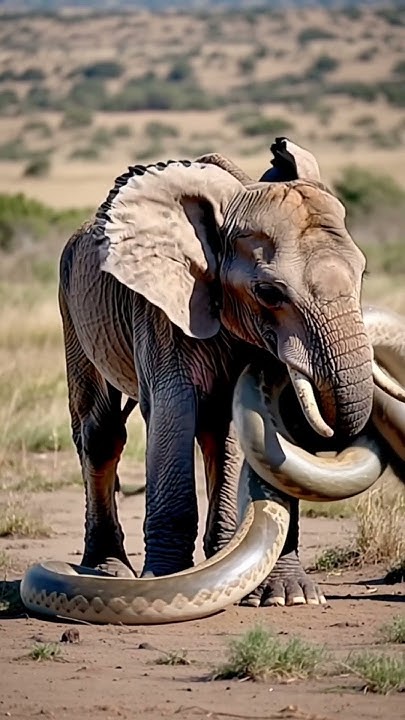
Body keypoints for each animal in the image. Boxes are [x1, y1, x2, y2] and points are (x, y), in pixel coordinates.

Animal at [19, 138, 405, 624]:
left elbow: (245, 439)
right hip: (72, 306)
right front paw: (162, 580)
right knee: (102, 433)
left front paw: (288, 596)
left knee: (212, 432)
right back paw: (108, 571)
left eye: (362, 275)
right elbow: (171, 413)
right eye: (269, 293)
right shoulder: (162, 316)